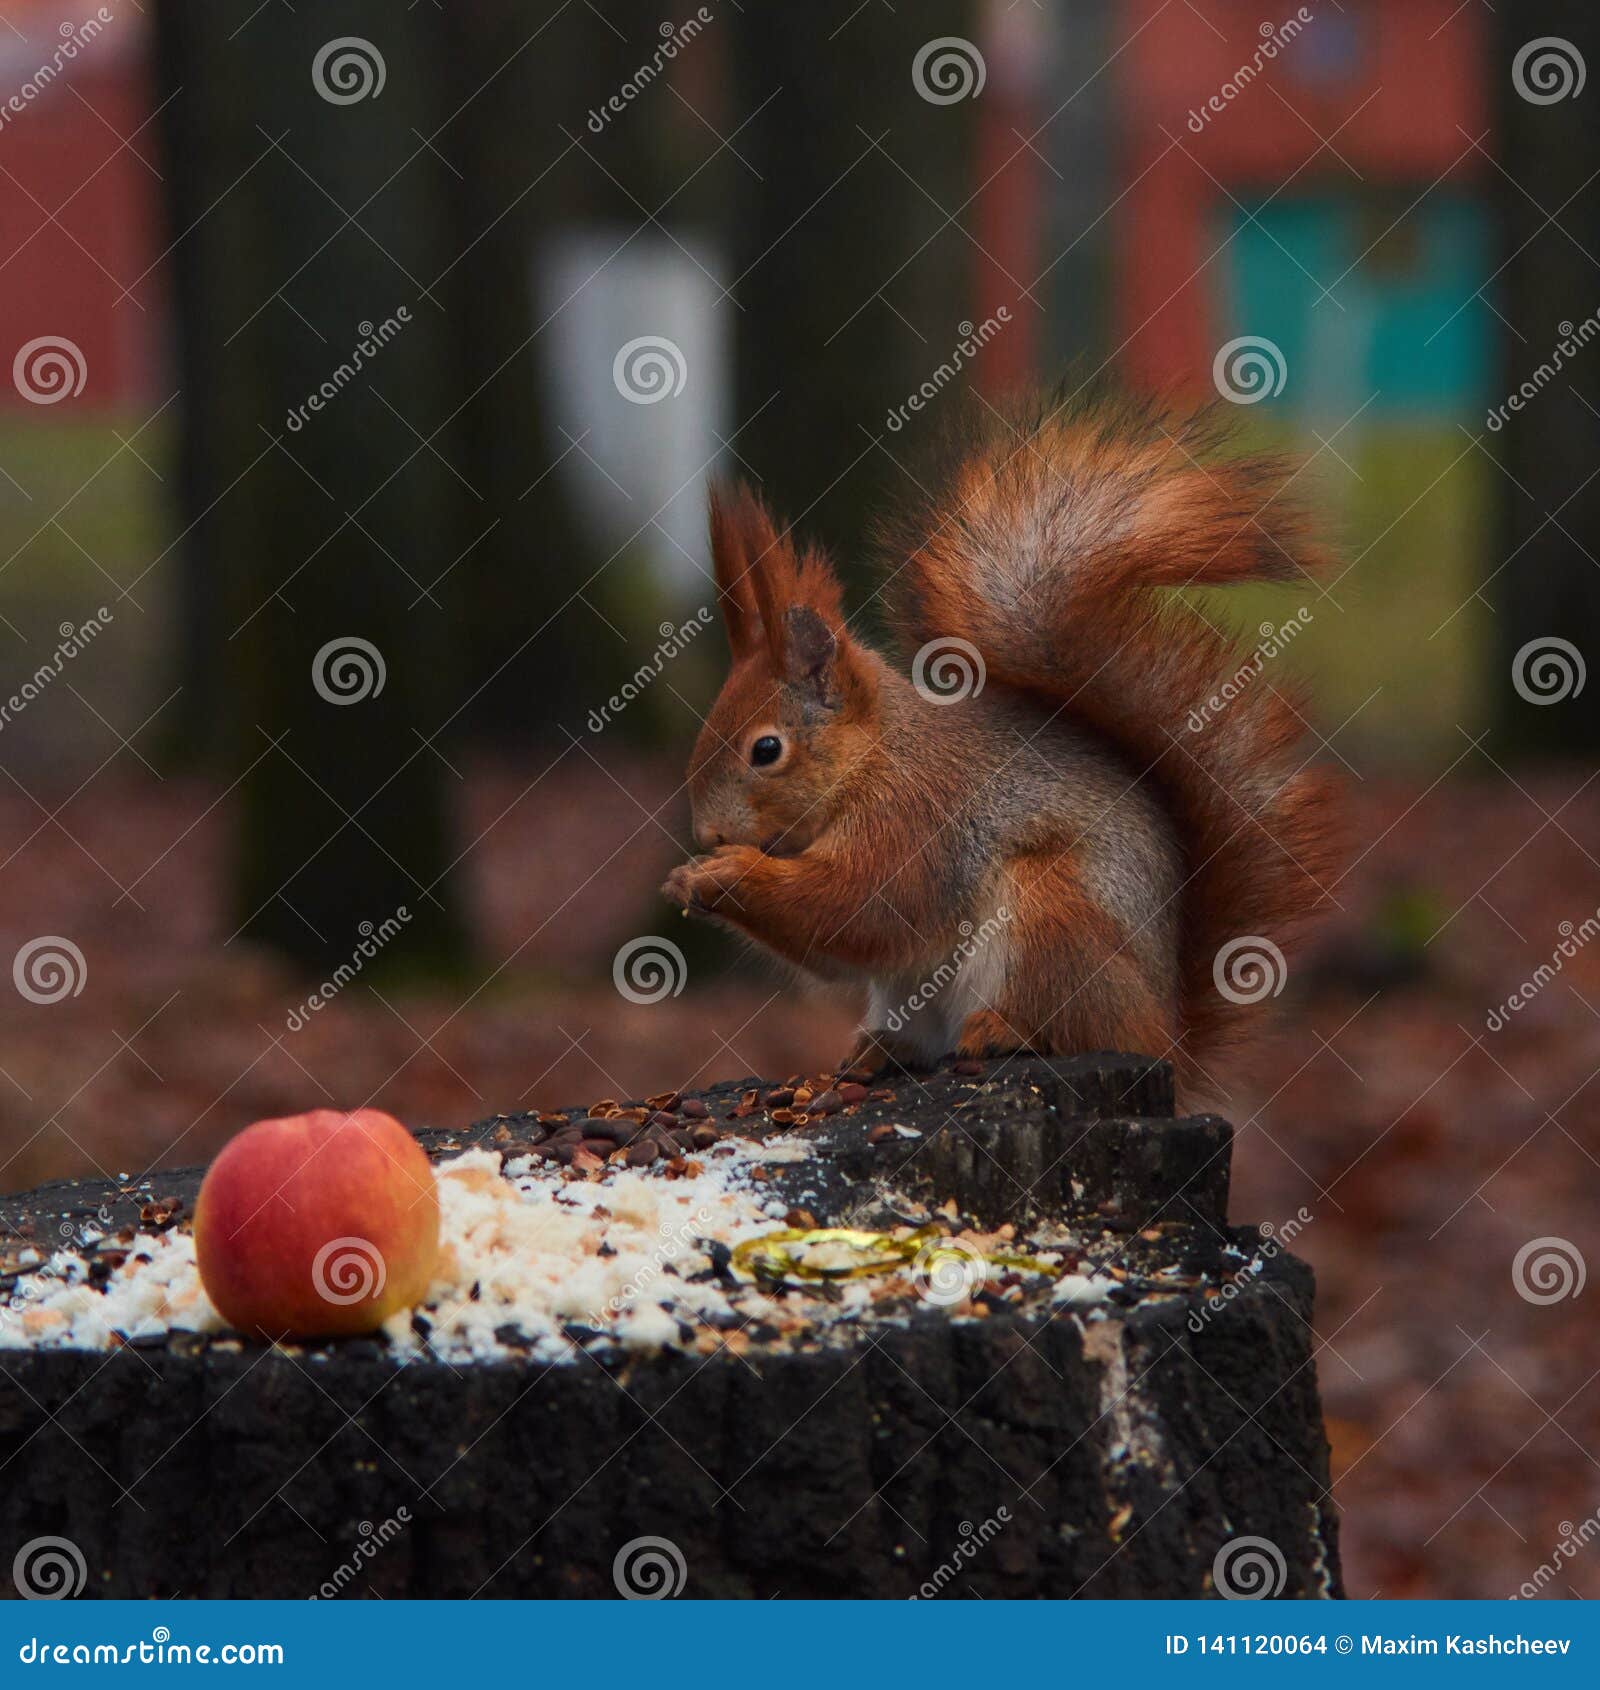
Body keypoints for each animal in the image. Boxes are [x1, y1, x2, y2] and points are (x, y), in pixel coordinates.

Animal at [661, 387, 1341, 1096]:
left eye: (766, 750)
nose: (707, 833)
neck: (875, 758)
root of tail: (1168, 1041)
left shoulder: (915, 820)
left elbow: (860, 907)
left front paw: (723, 873)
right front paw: (689, 878)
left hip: (1049, 916)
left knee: (1074, 1025)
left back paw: (1003, 1031)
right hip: (915, 994)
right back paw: (881, 1050)